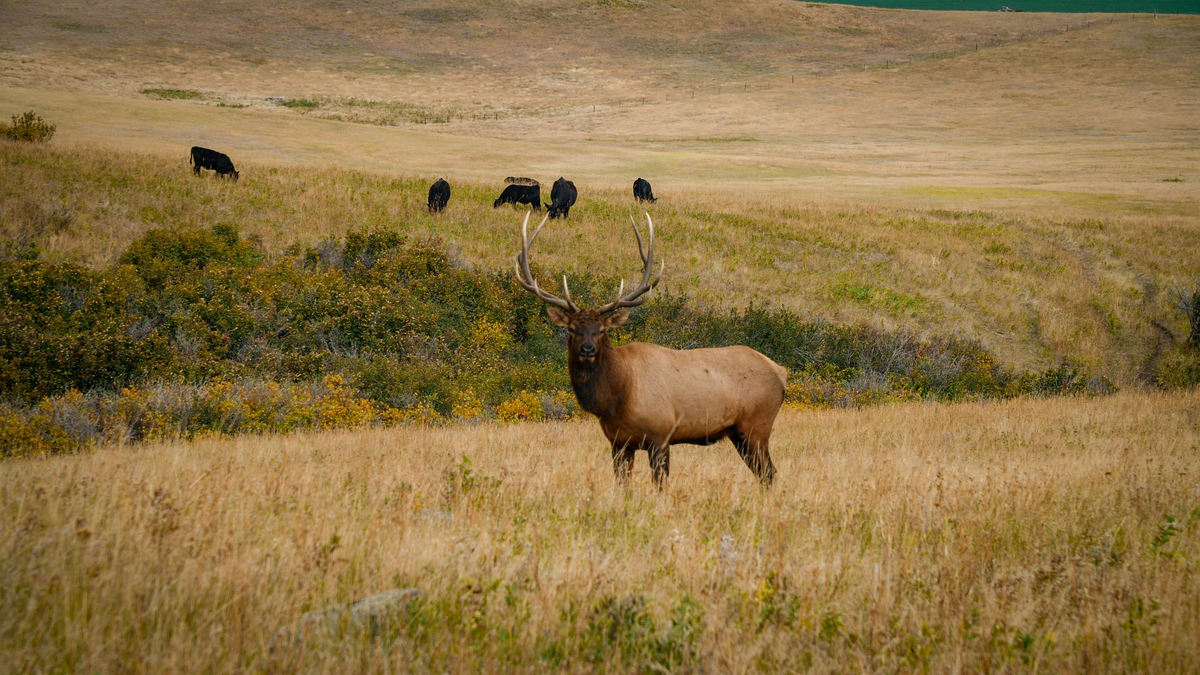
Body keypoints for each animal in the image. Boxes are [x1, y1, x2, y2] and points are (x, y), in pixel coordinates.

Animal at [514, 212, 787, 488]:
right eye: (572, 329)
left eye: (602, 330)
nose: (588, 349)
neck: (616, 397)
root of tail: (780, 371)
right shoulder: (619, 442)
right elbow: (622, 485)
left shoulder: (661, 434)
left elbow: (660, 484)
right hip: (738, 433)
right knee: (765, 473)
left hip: (757, 425)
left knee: (769, 472)